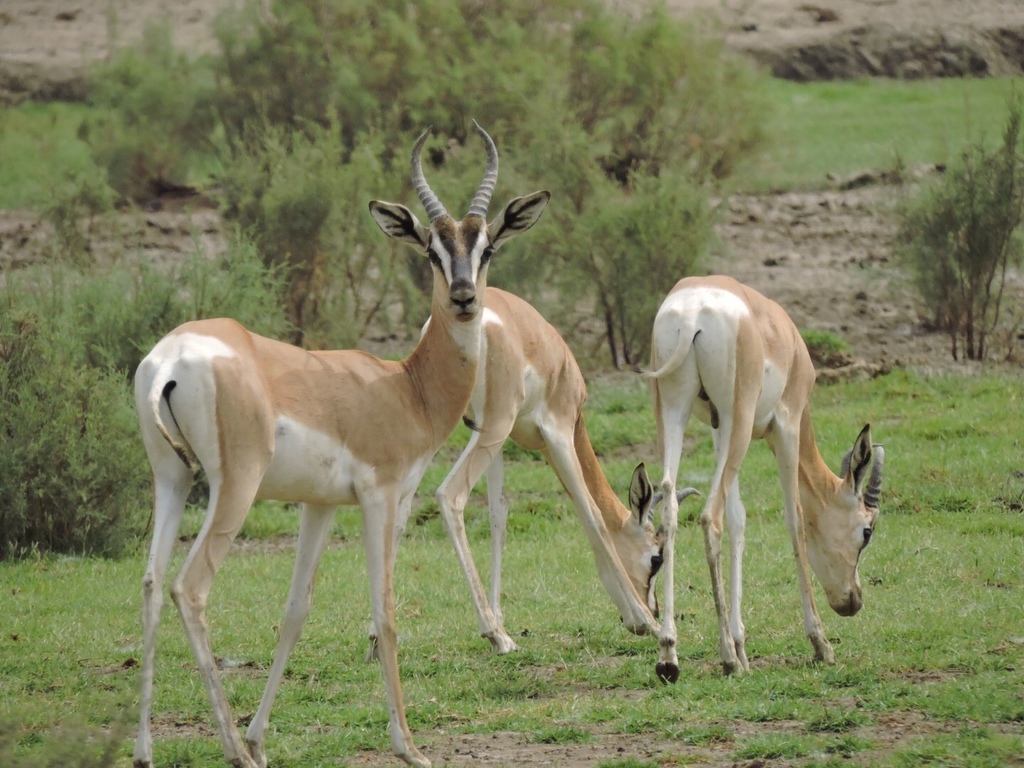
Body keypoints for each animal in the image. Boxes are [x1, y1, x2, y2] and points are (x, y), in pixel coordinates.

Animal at [131, 122, 549, 768]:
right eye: (431, 249)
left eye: (488, 248)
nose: (463, 298)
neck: (405, 388)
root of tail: (172, 359)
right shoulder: (381, 497)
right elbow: (386, 612)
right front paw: (409, 746)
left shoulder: (320, 505)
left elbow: (295, 611)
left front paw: (262, 737)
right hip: (233, 490)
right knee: (188, 588)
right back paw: (232, 749)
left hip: (171, 479)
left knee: (152, 584)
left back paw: (150, 751)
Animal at [369, 287, 699, 657]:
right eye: (657, 558)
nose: (654, 608)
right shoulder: (558, 434)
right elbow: (594, 518)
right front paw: (644, 622)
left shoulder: (501, 440)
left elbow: (499, 517)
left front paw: (502, 620)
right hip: (495, 423)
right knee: (449, 496)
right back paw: (493, 635)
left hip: (461, 428)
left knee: (402, 511)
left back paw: (378, 638)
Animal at [645, 275, 884, 679]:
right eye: (867, 531)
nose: (853, 601)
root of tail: (693, 309)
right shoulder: (786, 427)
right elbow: (795, 520)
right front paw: (821, 644)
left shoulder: (717, 429)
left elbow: (739, 520)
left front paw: (742, 645)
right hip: (737, 421)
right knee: (709, 517)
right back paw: (726, 658)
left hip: (677, 413)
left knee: (671, 508)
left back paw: (669, 656)